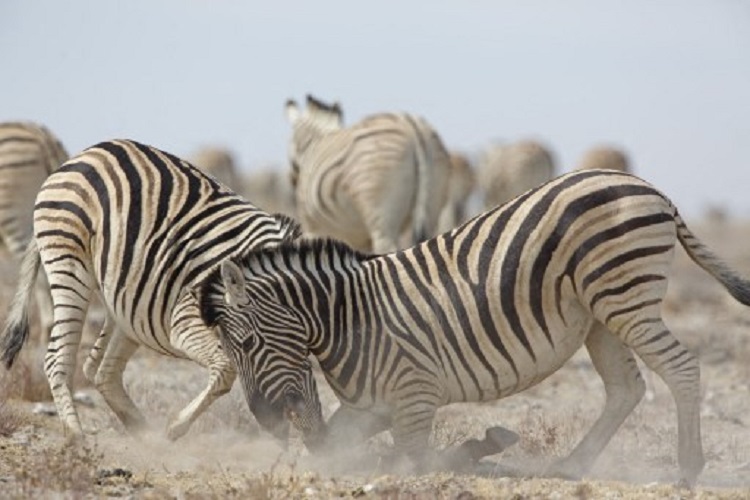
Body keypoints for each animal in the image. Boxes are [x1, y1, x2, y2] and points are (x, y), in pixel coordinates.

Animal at [199, 169, 750, 486]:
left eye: (247, 343)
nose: (268, 420)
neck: (348, 319)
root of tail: (653, 190)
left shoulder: (415, 397)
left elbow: (411, 463)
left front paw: (480, 450)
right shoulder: (368, 408)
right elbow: (340, 452)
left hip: (625, 297)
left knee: (681, 368)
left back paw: (687, 469)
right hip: (600, 314)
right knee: (625, 388)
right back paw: (572, 467)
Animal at [285, 94, 450, 254]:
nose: (292, 183)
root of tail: (411, 126)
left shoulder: (312, 228)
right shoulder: (359, 239)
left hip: (380, 215)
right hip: (432, 203)